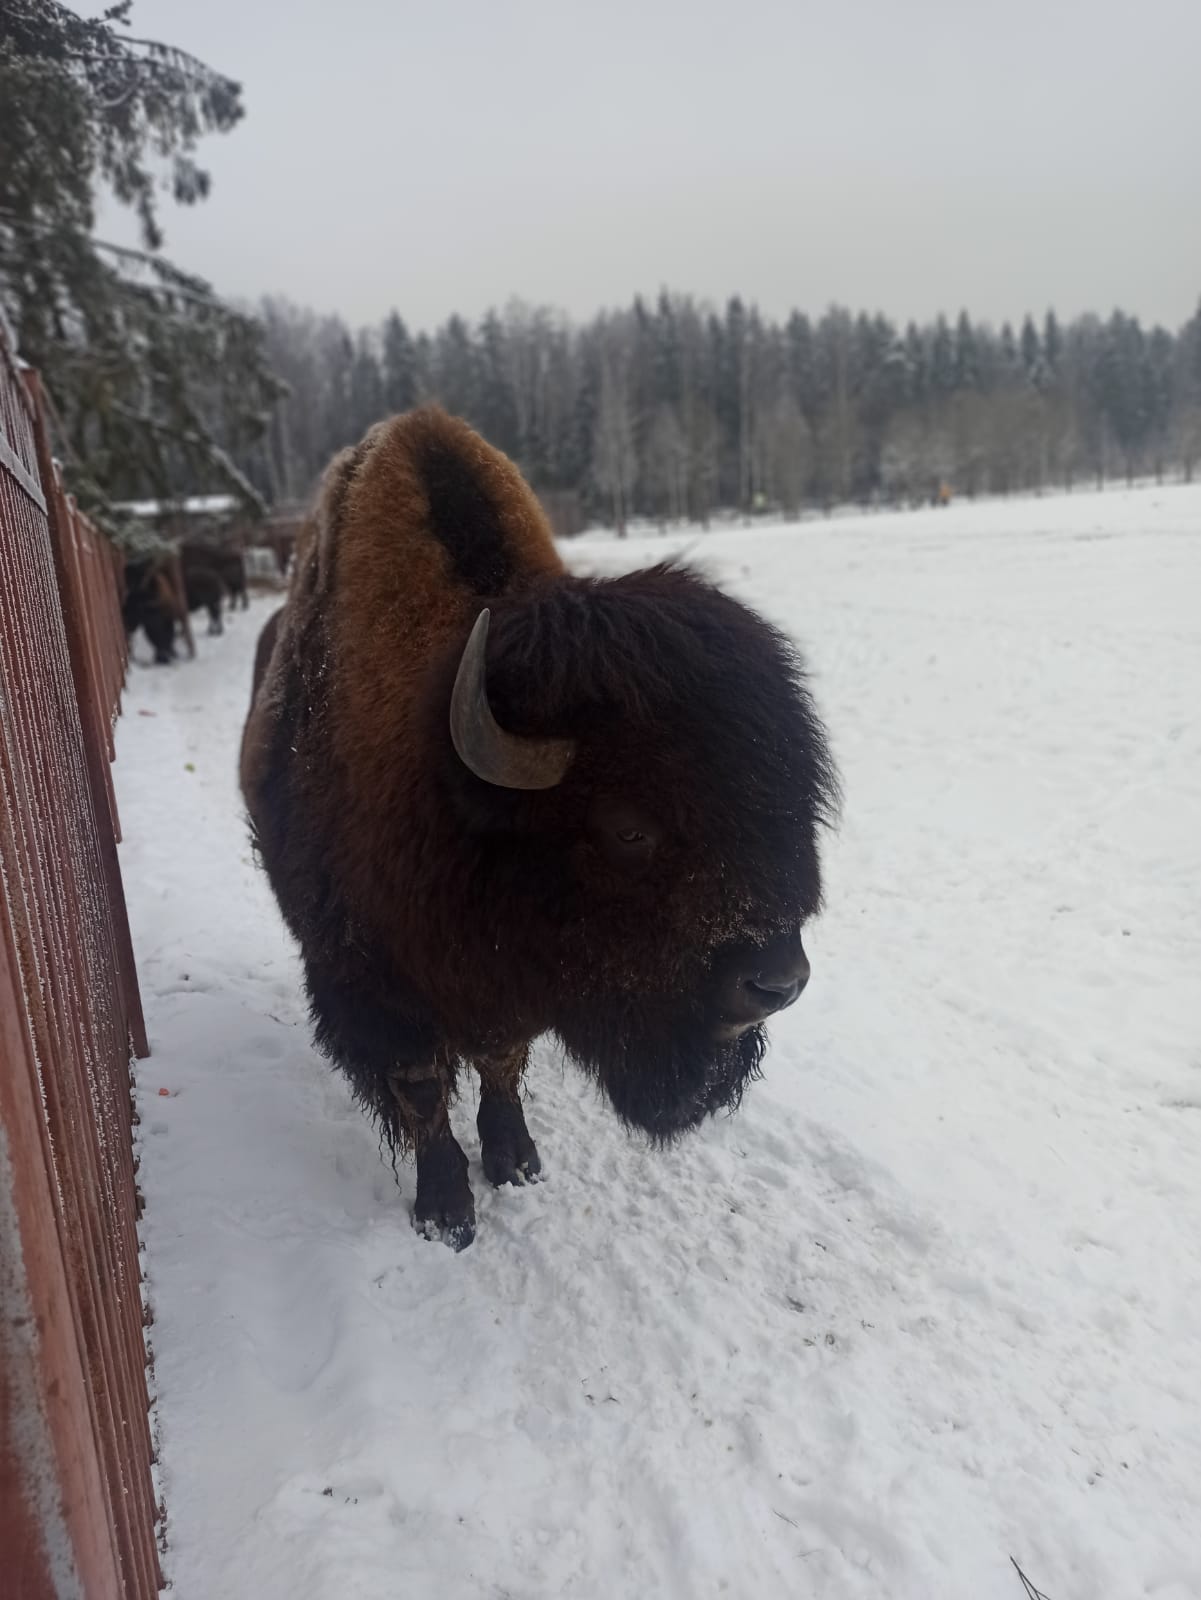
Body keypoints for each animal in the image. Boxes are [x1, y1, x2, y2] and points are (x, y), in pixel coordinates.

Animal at [241, 403, 837, 1248]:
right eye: (628, 829)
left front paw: (515, 1161)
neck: (444, 784)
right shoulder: (375, 984)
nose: (774, 983)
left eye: (795, 805)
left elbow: (501, 1059)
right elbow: (421, 1088)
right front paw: (446, 1211)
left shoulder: (510, 987)